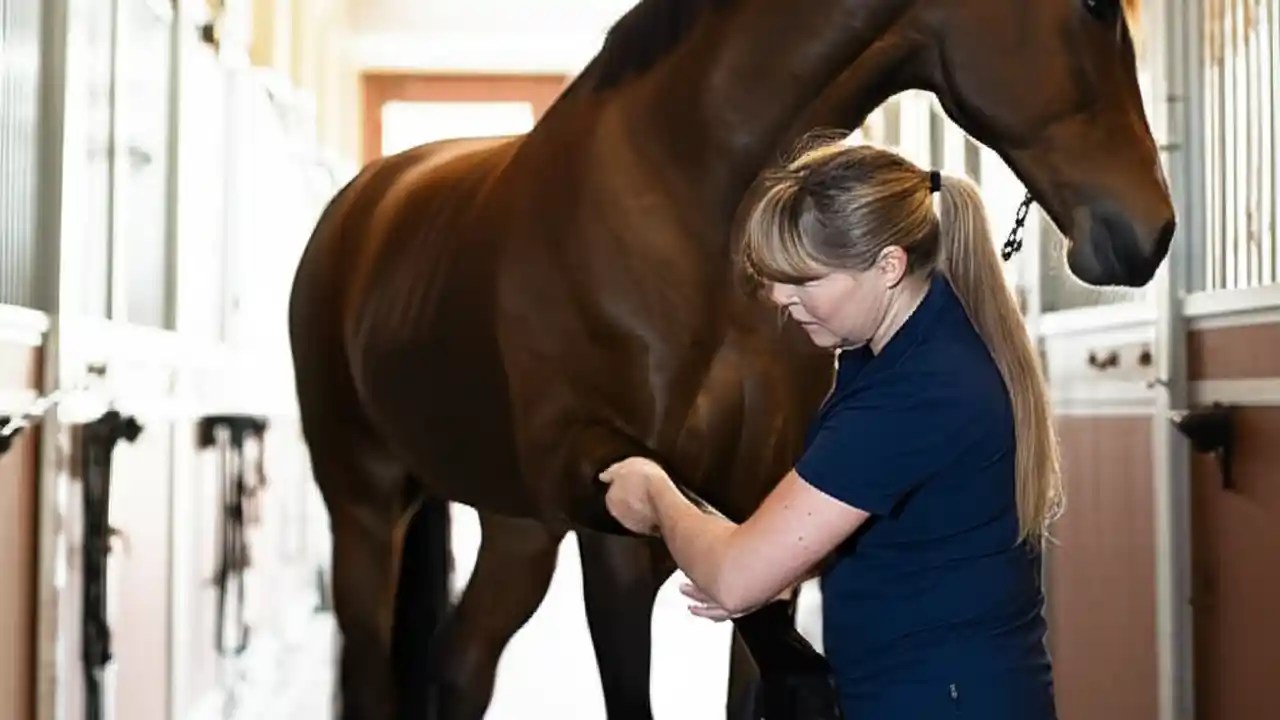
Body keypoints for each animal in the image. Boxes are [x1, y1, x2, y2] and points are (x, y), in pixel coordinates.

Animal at [286, 0, 1173, 717]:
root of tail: (362, 204)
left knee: (461, 664)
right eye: (1097, 6)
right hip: (365, 505)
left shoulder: (761, 495)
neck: (691, 208)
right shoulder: (613, 520)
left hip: (518, 530)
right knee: (372, 671)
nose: (1152, 231)